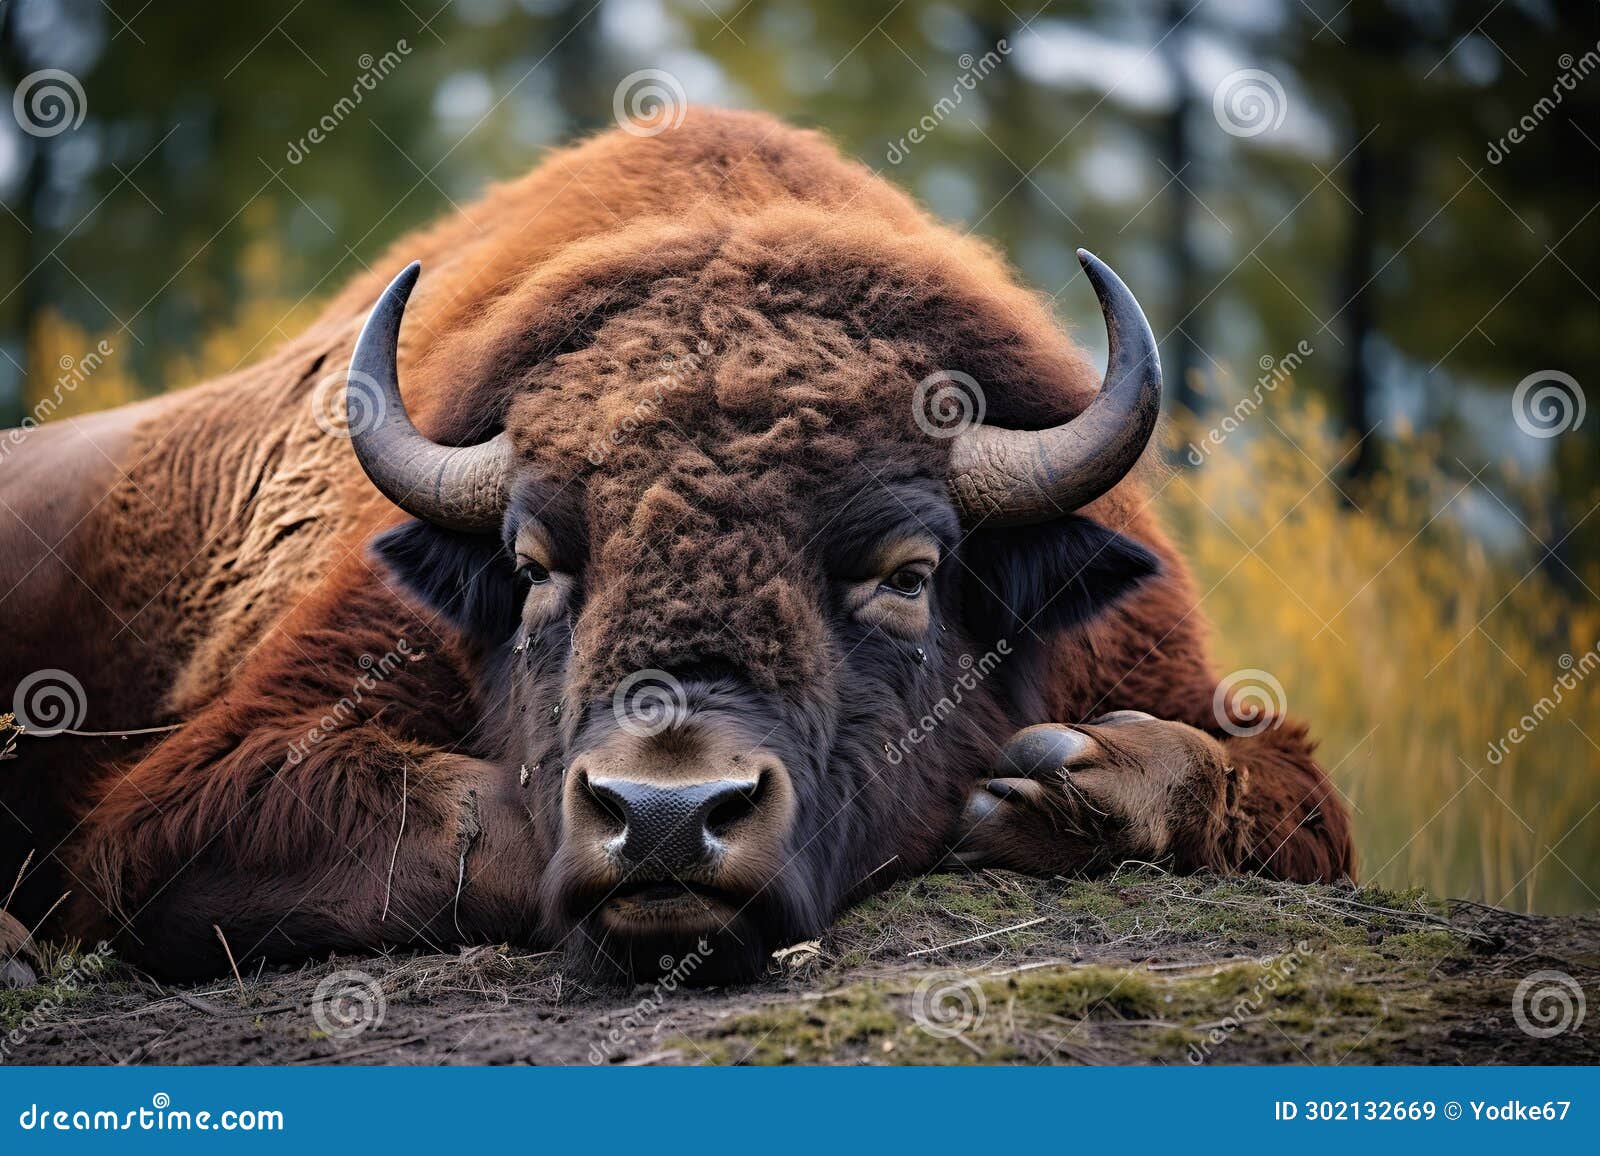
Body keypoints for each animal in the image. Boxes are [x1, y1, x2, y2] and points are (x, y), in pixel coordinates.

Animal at [0, 109, 1351, 984]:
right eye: (532, 567)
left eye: (910, 575)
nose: (667, 815)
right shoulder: (198, 798)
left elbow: (1265, 797)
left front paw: (1047, 783)